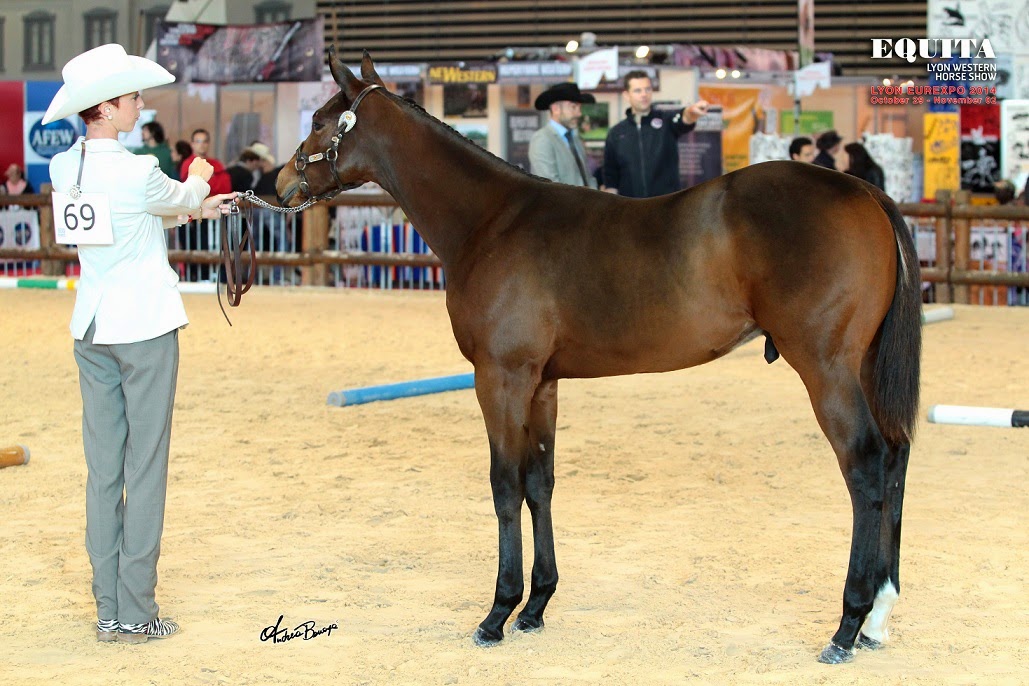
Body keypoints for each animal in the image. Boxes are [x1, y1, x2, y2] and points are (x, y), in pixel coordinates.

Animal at [276, 49, 922, 665]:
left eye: (319, 120)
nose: (281, 182)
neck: (491, 220)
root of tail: (865, 190)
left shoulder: (500, 378)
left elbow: (504, 485)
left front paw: (497, 613)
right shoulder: (542, 383)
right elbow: (540, 482)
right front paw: (535, 606)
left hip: (825, 367)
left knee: (866, 466)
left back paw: (847, 625)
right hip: (862, 367)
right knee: (895, 459)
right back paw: (879, 617)